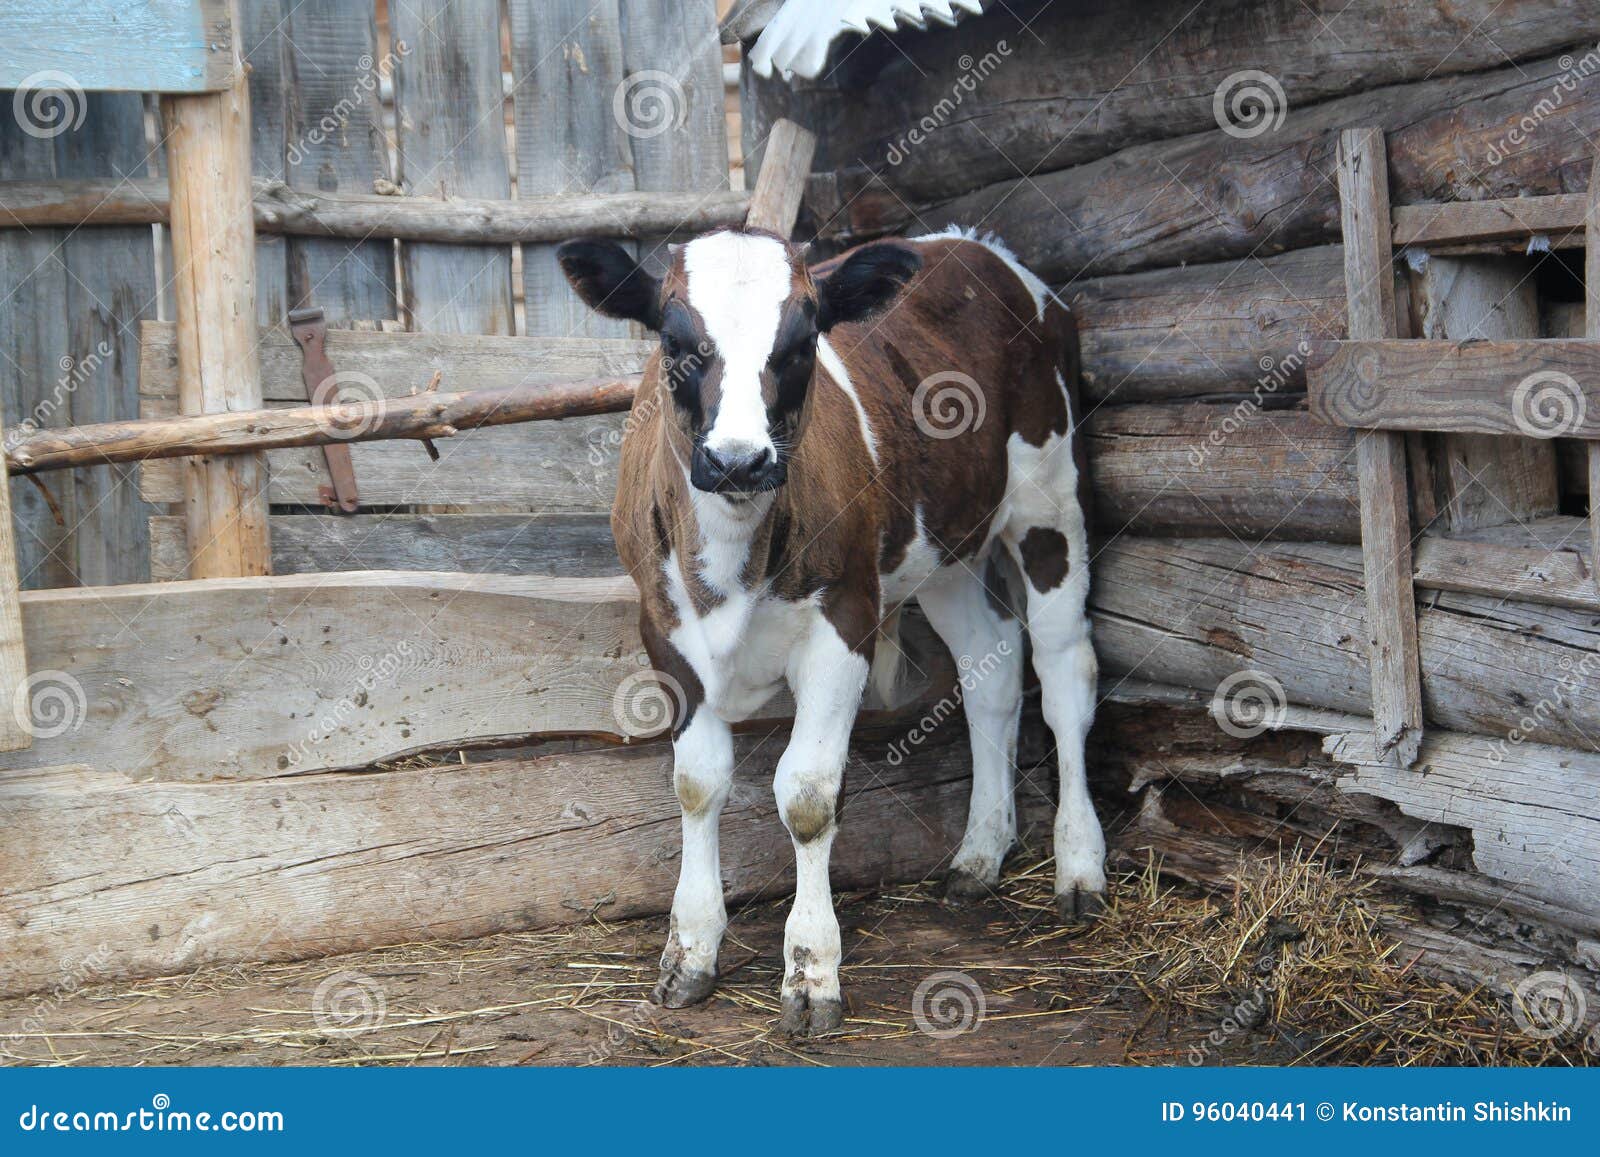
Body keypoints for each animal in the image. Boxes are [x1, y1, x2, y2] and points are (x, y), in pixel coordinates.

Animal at [557, 225, 1101, 1036]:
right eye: (675, 339)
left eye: (802, 339)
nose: (739, 459)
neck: (734, 553)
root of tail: (975, 246)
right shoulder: (664, 630)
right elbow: (696, 784)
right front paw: (689, 953)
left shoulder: (844, 620)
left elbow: (808, 797)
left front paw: (812, 973)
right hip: (942, 549)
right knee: (990, 673)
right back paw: (978, 854)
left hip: (1050, 499)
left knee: (1066, 675)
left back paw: (1080, 866)